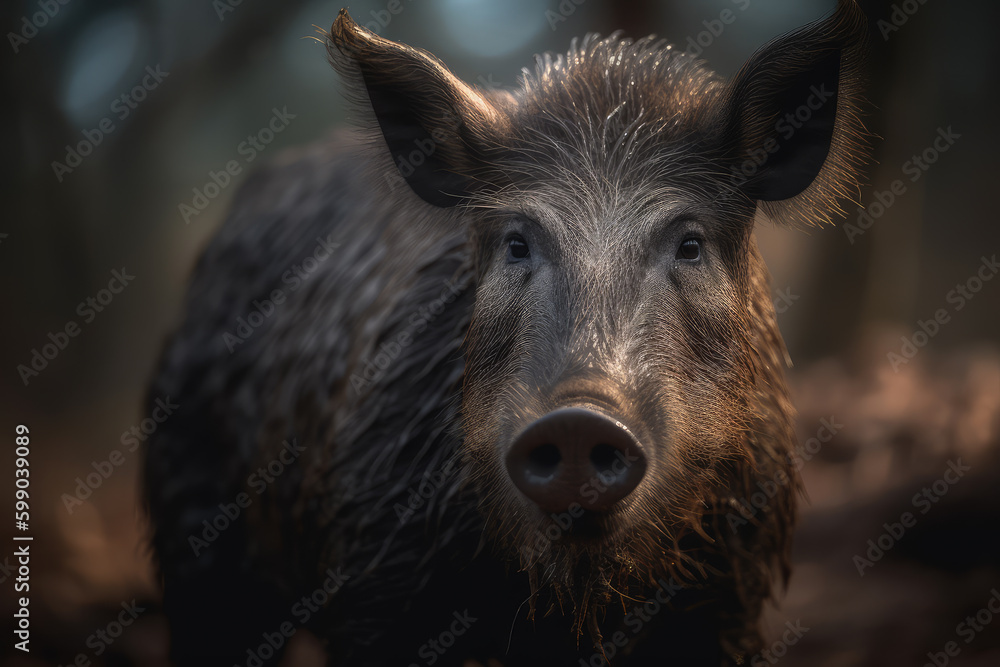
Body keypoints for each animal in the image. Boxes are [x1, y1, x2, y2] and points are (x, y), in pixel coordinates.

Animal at [144, 2, 869, 665]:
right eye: (517, 242)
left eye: (690, 244)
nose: (580, 418)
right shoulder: (376, 572)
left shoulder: (733, 591)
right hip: (191, 523)